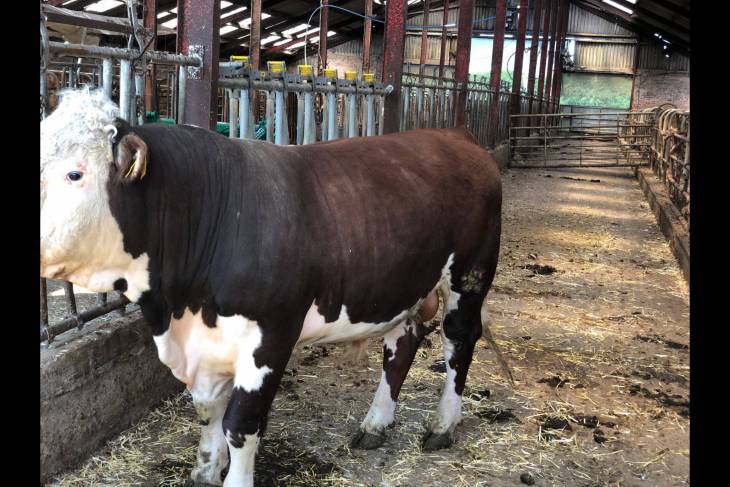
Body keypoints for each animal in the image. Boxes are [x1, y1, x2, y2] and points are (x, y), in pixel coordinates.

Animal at [40, 89, 503, 487]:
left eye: (75, 173)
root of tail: (453, 134)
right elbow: (207, 411)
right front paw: (205, 470)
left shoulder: (271, 337)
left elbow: (241, 425)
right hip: (402, 286)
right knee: (402, 342)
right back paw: (375, 424)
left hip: (469, 276)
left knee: (459, 342)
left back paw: (443, 424)